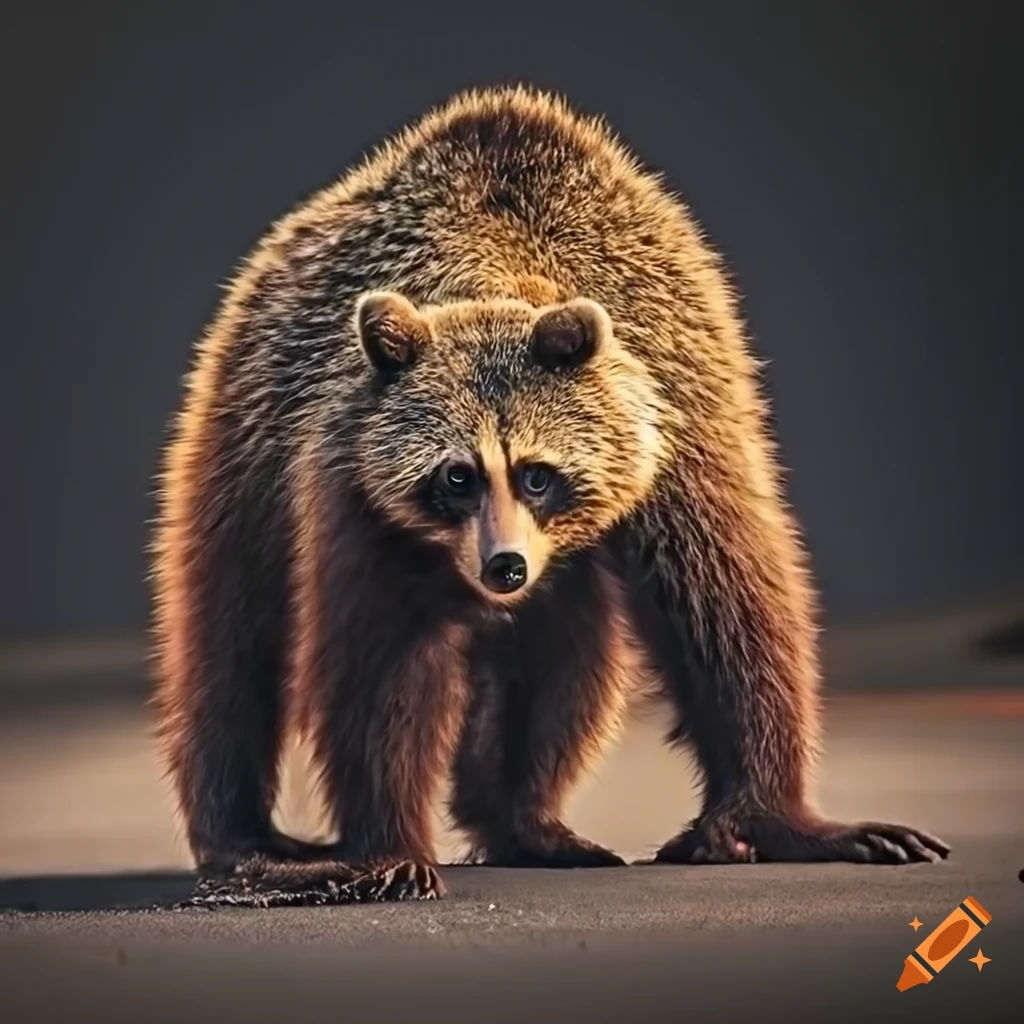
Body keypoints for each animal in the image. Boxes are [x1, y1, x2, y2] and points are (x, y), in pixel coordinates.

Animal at [152, 85, 949, 906]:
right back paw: (242, 834)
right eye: (456, 477)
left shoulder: (672, 415)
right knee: (231, 638)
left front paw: (768, 813)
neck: (485, 278)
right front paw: (386, 840)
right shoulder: (355, 479)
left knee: (570, 646)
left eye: (537, 474)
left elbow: (726, 607)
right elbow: (380, 668)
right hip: (243, 423)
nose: (504, 568)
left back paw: (521, 817)